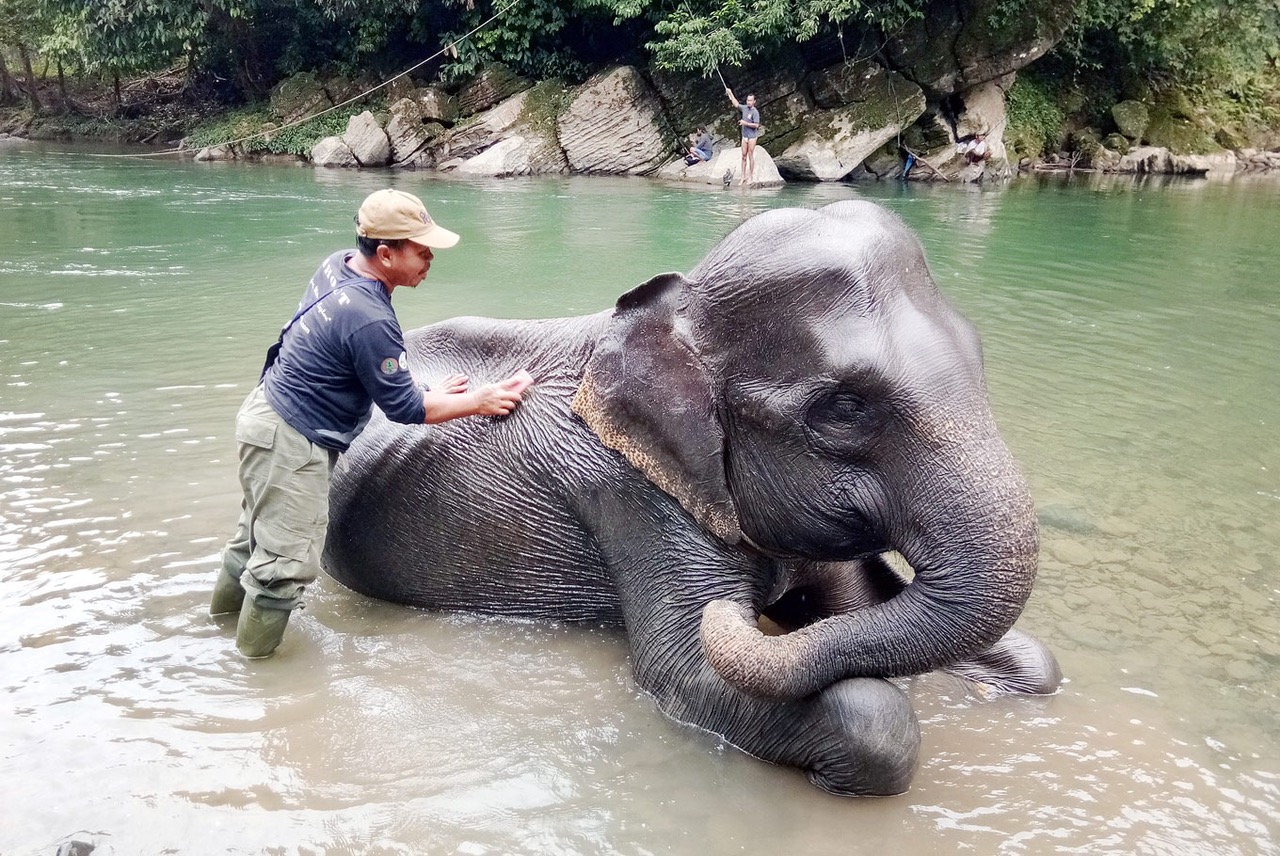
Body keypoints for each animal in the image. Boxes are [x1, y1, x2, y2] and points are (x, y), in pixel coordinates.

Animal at [323, 200, 1062, 796]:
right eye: (845, 409)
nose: (761, 611)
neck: (676, 312)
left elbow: (867, 613)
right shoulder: (626, 493)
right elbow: (692, 671)